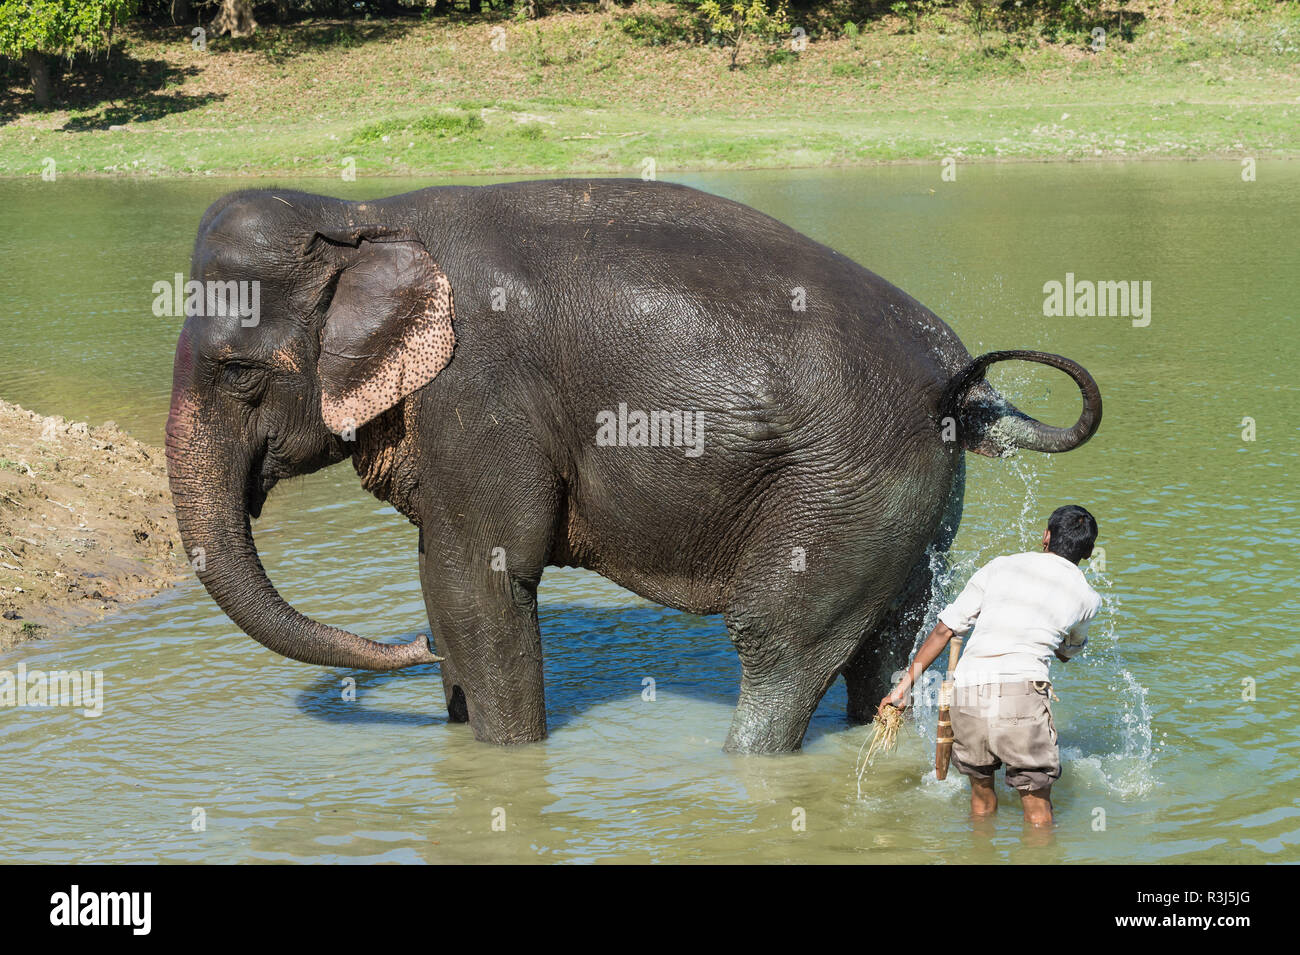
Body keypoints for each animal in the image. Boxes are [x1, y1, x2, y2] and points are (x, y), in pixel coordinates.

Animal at [164, 178, 1101, 754]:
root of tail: (962, 384)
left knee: (779, 640)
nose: (413, 655)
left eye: (239, 372)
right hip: (916, 499)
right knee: (890, 637)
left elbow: (480, 583)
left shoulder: (482, 396)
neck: (361, 208)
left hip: (843, 488)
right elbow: (443, 579)